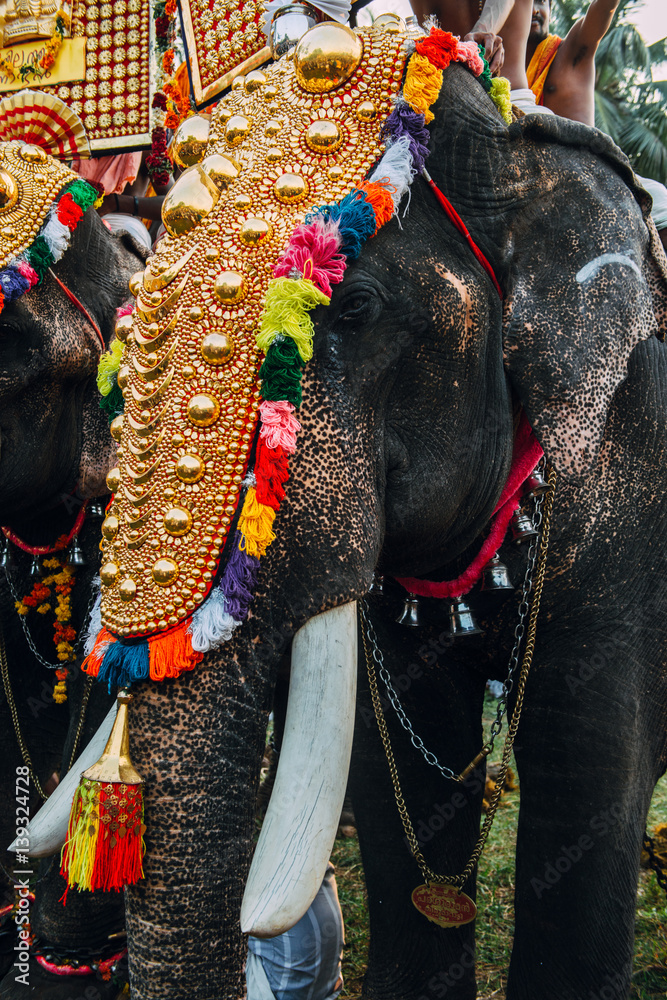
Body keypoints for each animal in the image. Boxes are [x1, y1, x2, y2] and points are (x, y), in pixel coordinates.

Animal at [33, 32, 667, 1000]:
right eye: (129, 333)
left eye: (358, 307)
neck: (523, 150)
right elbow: (393, 759)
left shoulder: (629, 454)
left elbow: (590, 766)